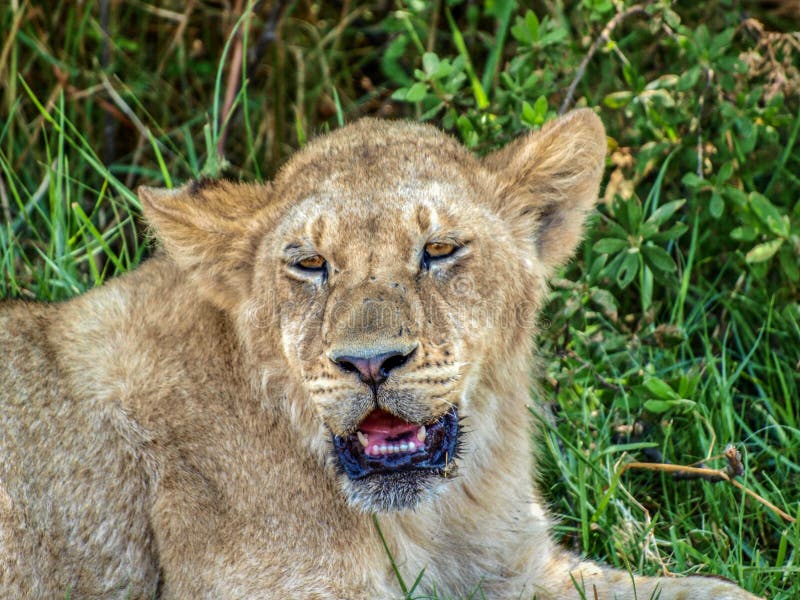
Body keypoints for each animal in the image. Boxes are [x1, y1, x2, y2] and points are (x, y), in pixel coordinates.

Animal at [0, 110, 760, 599]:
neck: (439, 515)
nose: (369, 363)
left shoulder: (520, 567)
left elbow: (713, 589)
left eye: (440, 250)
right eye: (309, 264)